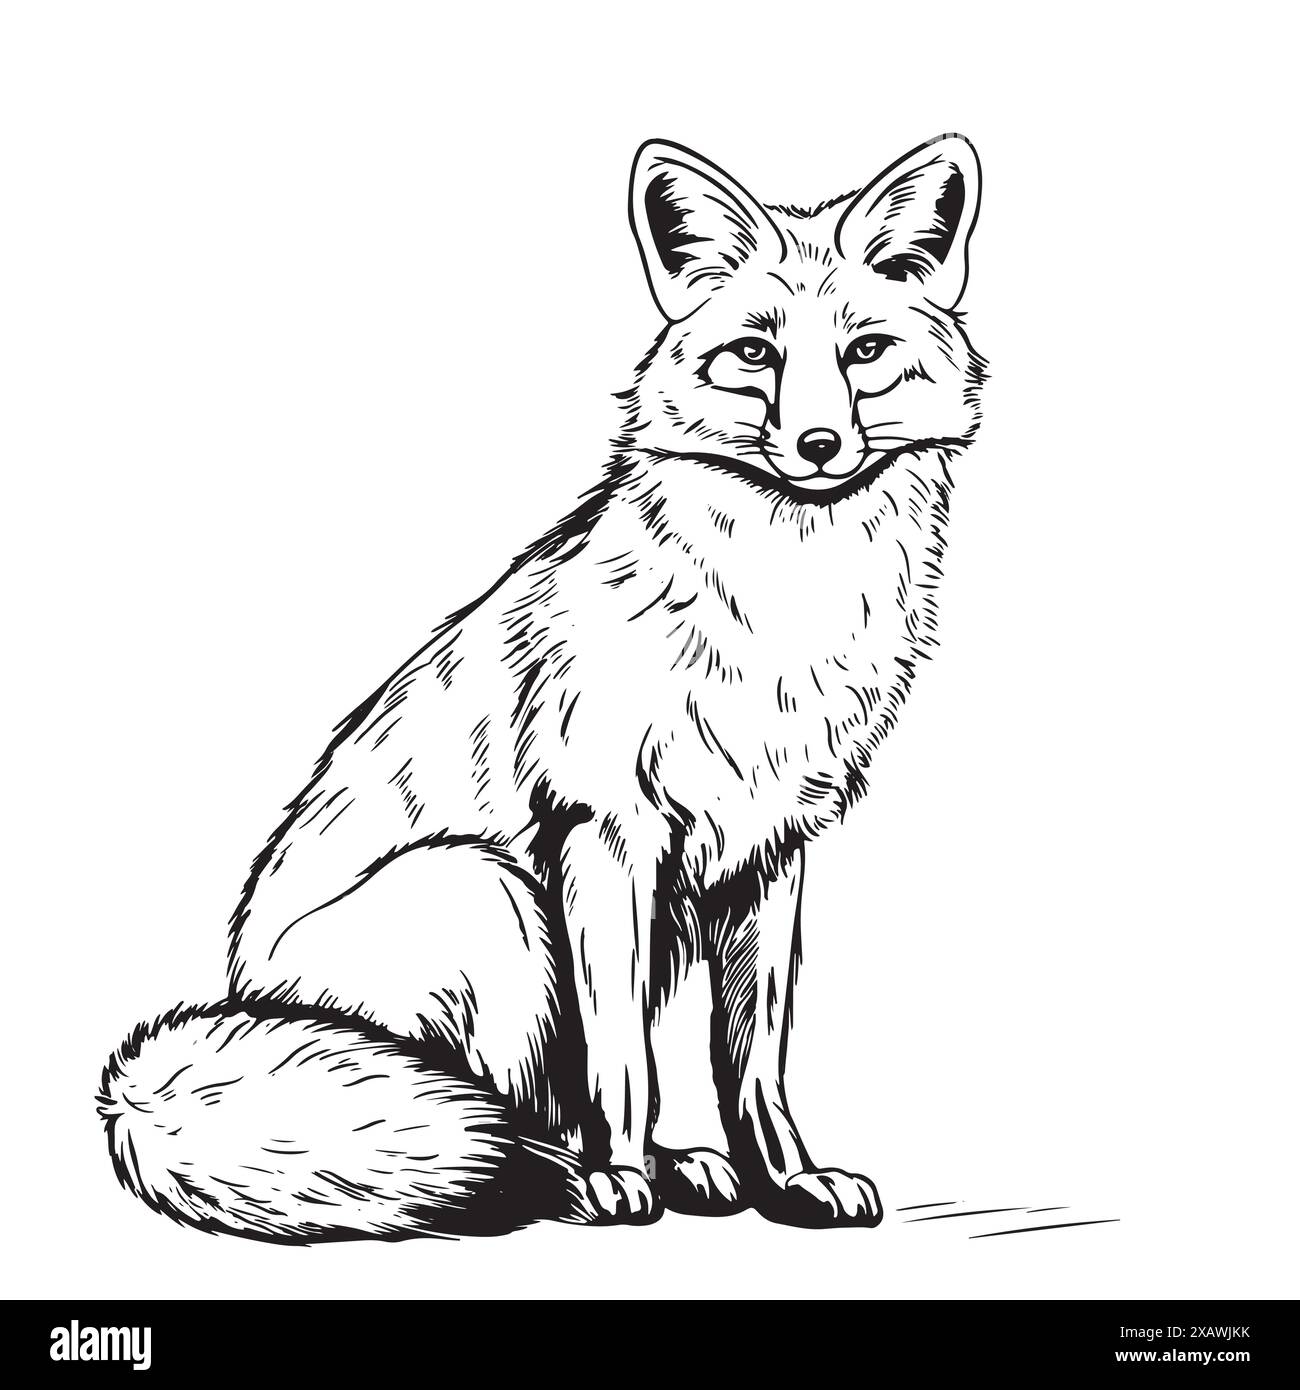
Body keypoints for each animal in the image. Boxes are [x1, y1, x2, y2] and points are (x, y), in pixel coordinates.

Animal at [99, 134, 986, 1240]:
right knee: (508, 1110)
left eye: (865, 353)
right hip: (490, 894)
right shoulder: (605, 830)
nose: (819, 447)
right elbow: (620, 1060)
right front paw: (621, 1178)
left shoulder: (771, 849)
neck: (780, 617)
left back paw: (678, 1166)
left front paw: (787, 1179)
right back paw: (578, 1177)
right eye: (754, 356)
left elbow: (753, 1061)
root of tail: (244, 996)